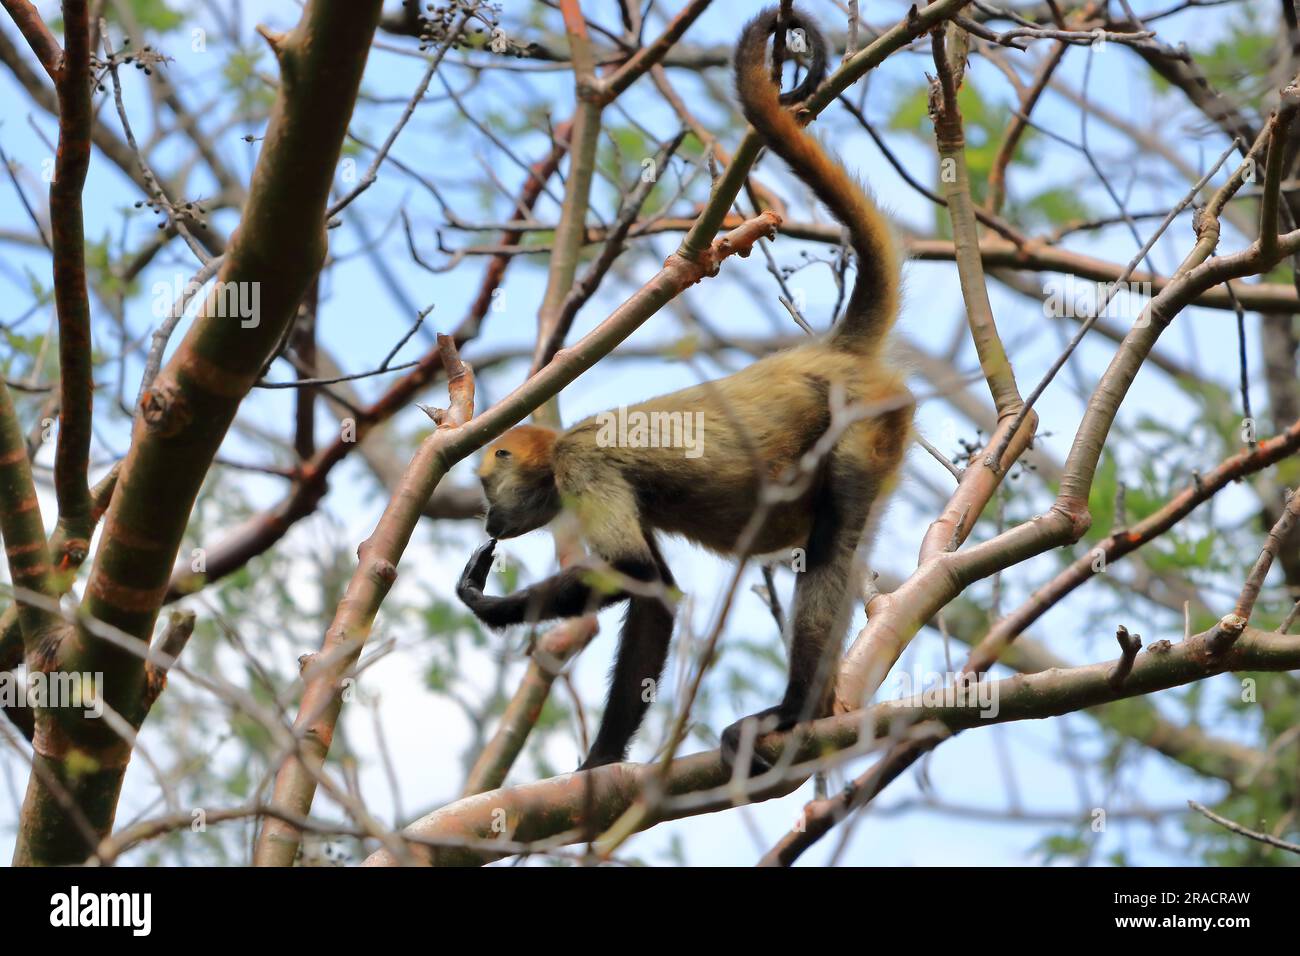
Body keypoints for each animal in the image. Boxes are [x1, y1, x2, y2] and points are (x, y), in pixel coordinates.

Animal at [456, 5, 913, 774]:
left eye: (489, 486)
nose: (488, 521)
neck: (563, 444)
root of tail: (830, 349)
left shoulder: (584, 463)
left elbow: (642, 578)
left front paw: (498, 614)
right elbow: (652, 586)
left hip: (863, 425)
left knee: (828, 547)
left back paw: (796, 710)